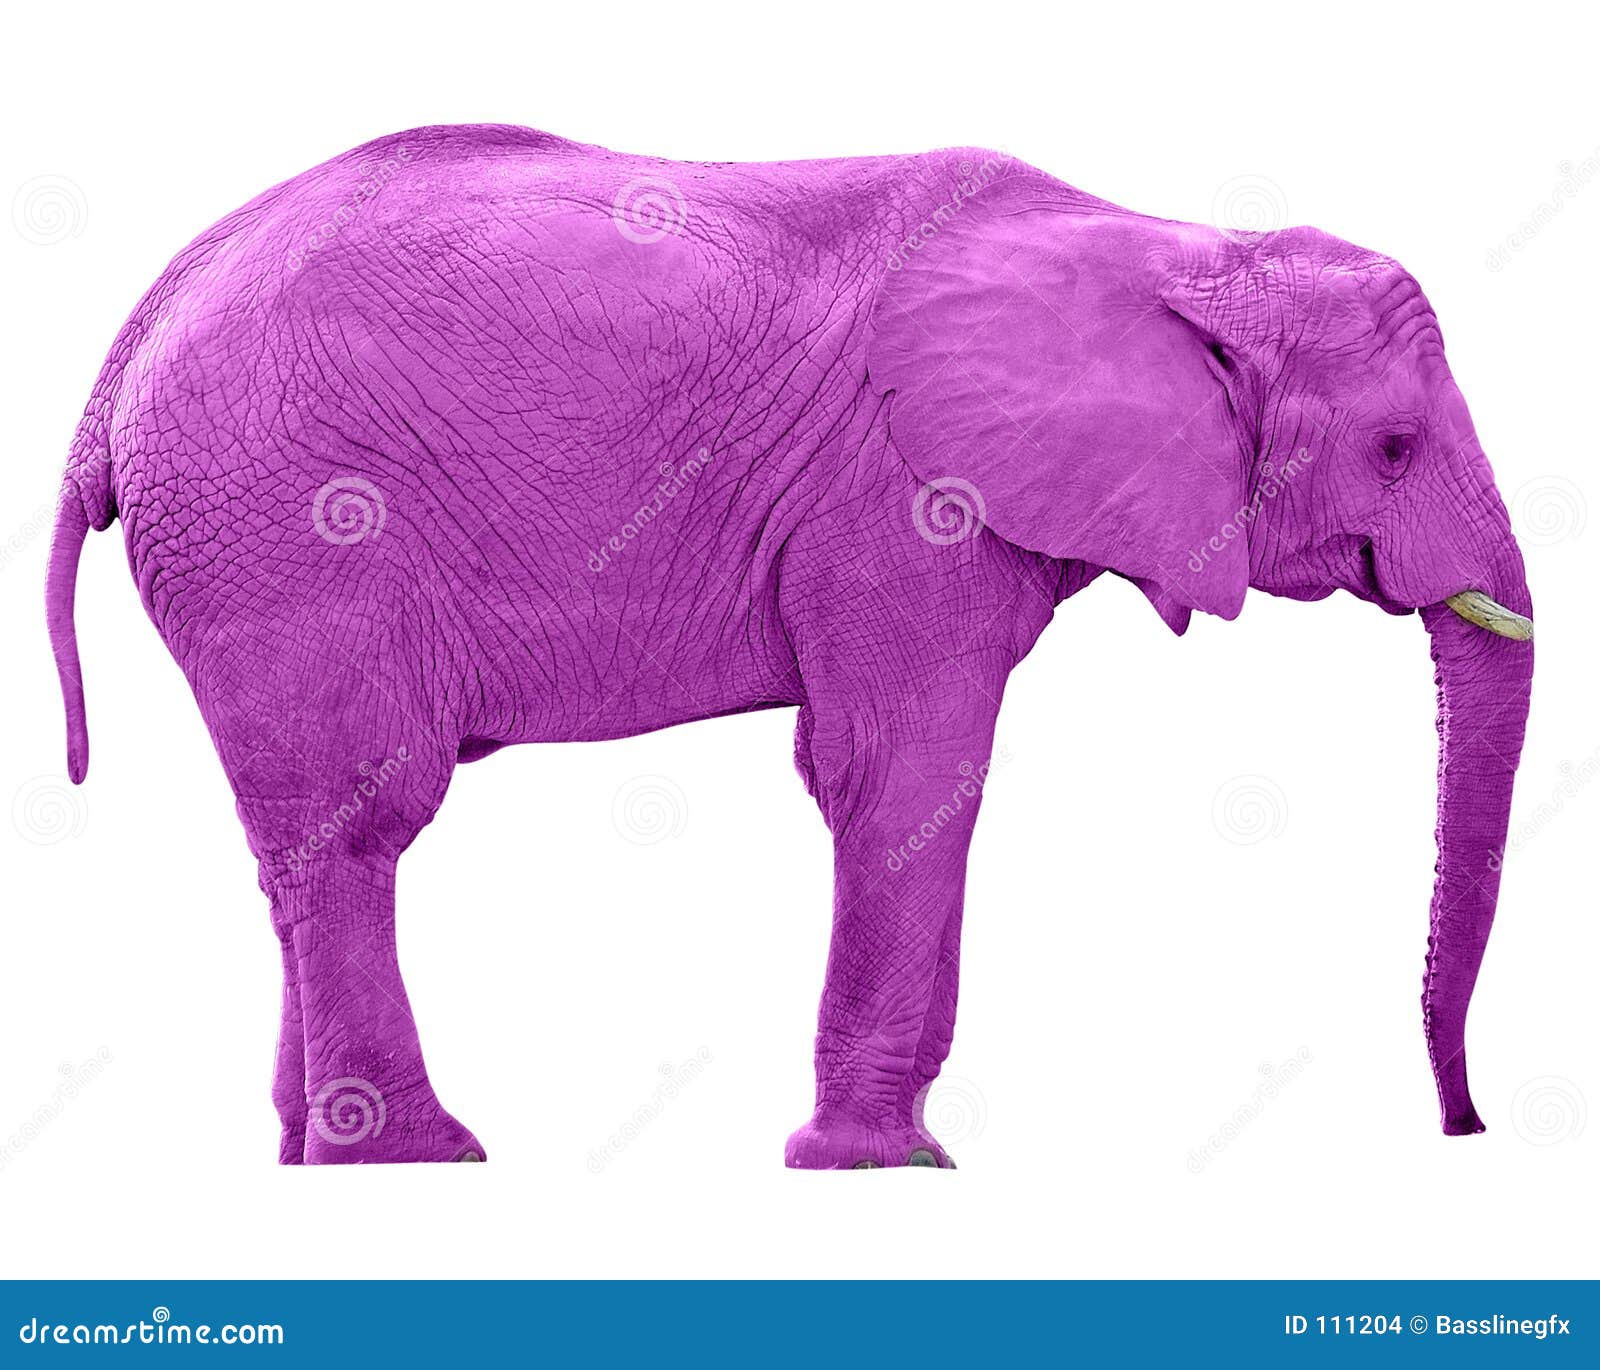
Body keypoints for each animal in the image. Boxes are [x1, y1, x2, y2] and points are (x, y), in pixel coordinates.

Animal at [46, 124, 1534, 1167]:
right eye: (1394, 448)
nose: (1462, 1128)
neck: (1178, 249)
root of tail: (122, 355)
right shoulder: (901, 497)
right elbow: (902, 773)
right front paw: (882, 1167)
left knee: (302, 841)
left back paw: (306, 1150)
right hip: (286, 530)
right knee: (364, 818)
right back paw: (418, 1159)